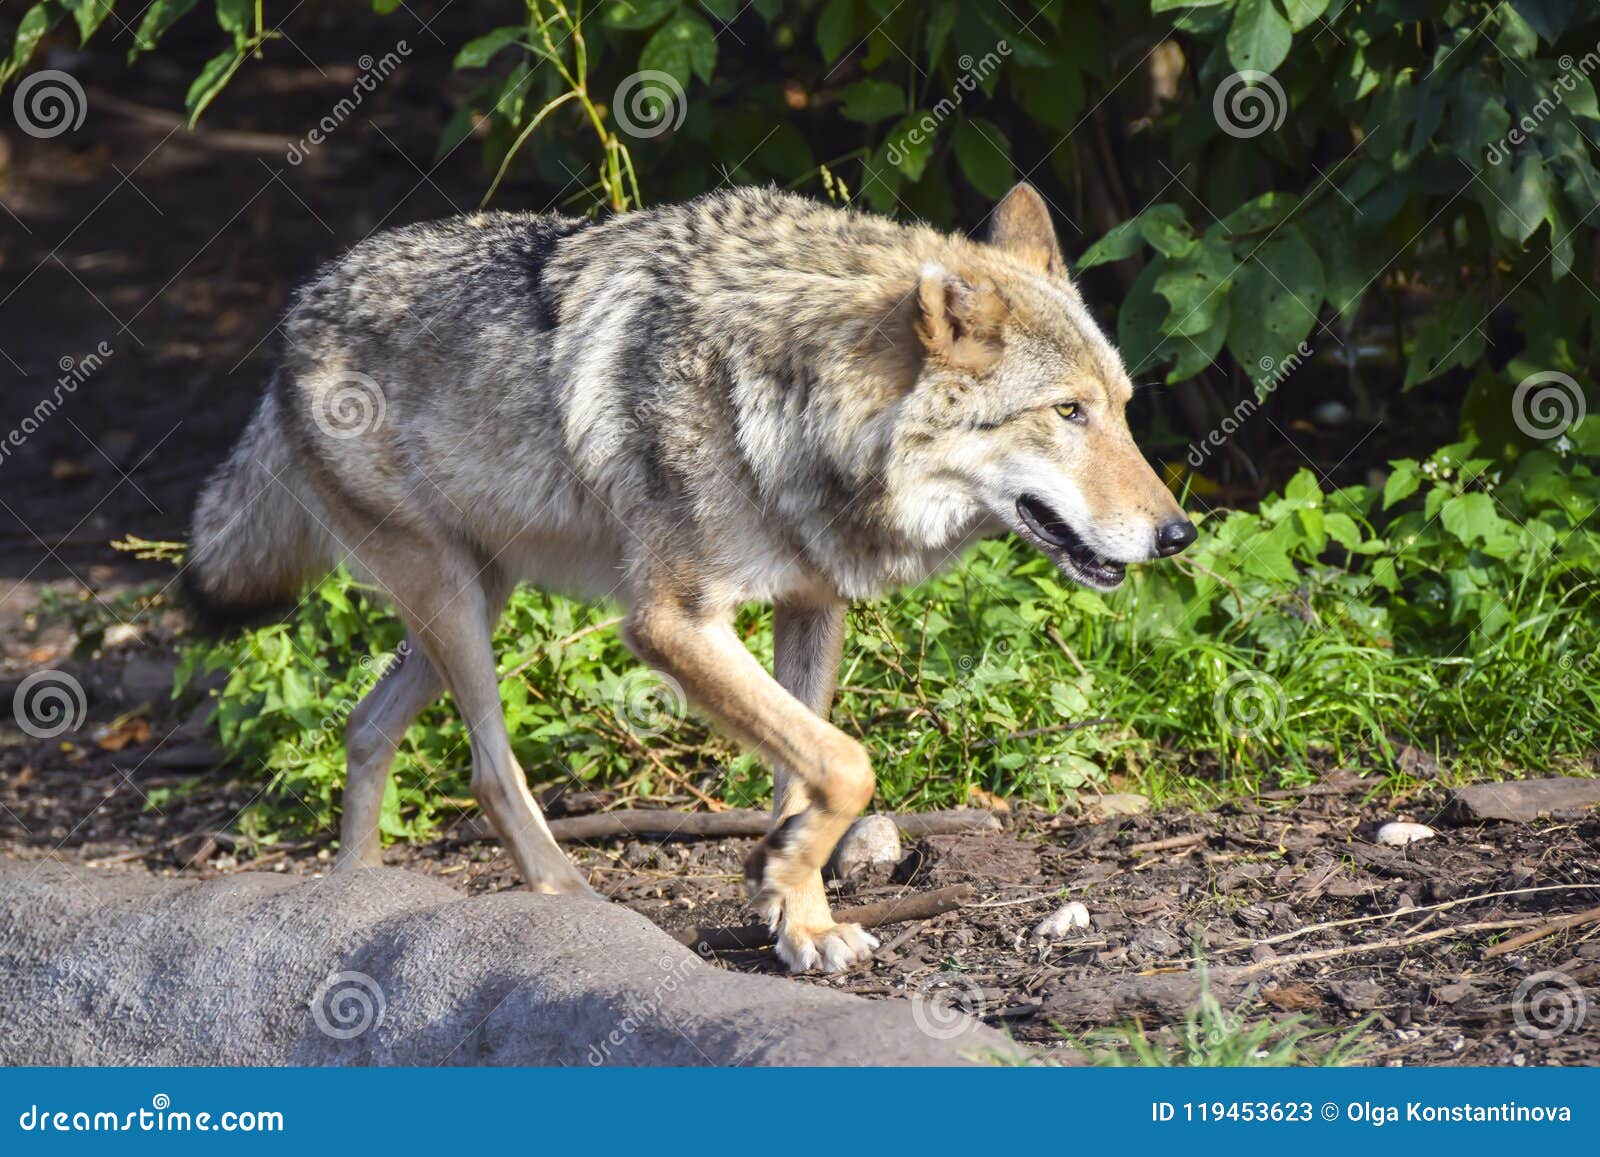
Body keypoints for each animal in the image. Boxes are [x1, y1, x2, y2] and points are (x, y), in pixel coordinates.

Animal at [185, 181, 1196, 973]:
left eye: (1122, 410)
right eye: (1067, 412)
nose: (1179, 533)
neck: (800, 397)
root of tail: (295, 313)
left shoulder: (809, 608)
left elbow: (806, 774)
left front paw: (798, 915)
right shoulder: (669, 622)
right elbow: (848, 762)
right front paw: (784, 884)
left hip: (469, 602)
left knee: (363, 726)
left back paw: (352, 903)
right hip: (456, 607)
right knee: (486, 770)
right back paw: (567, 894)